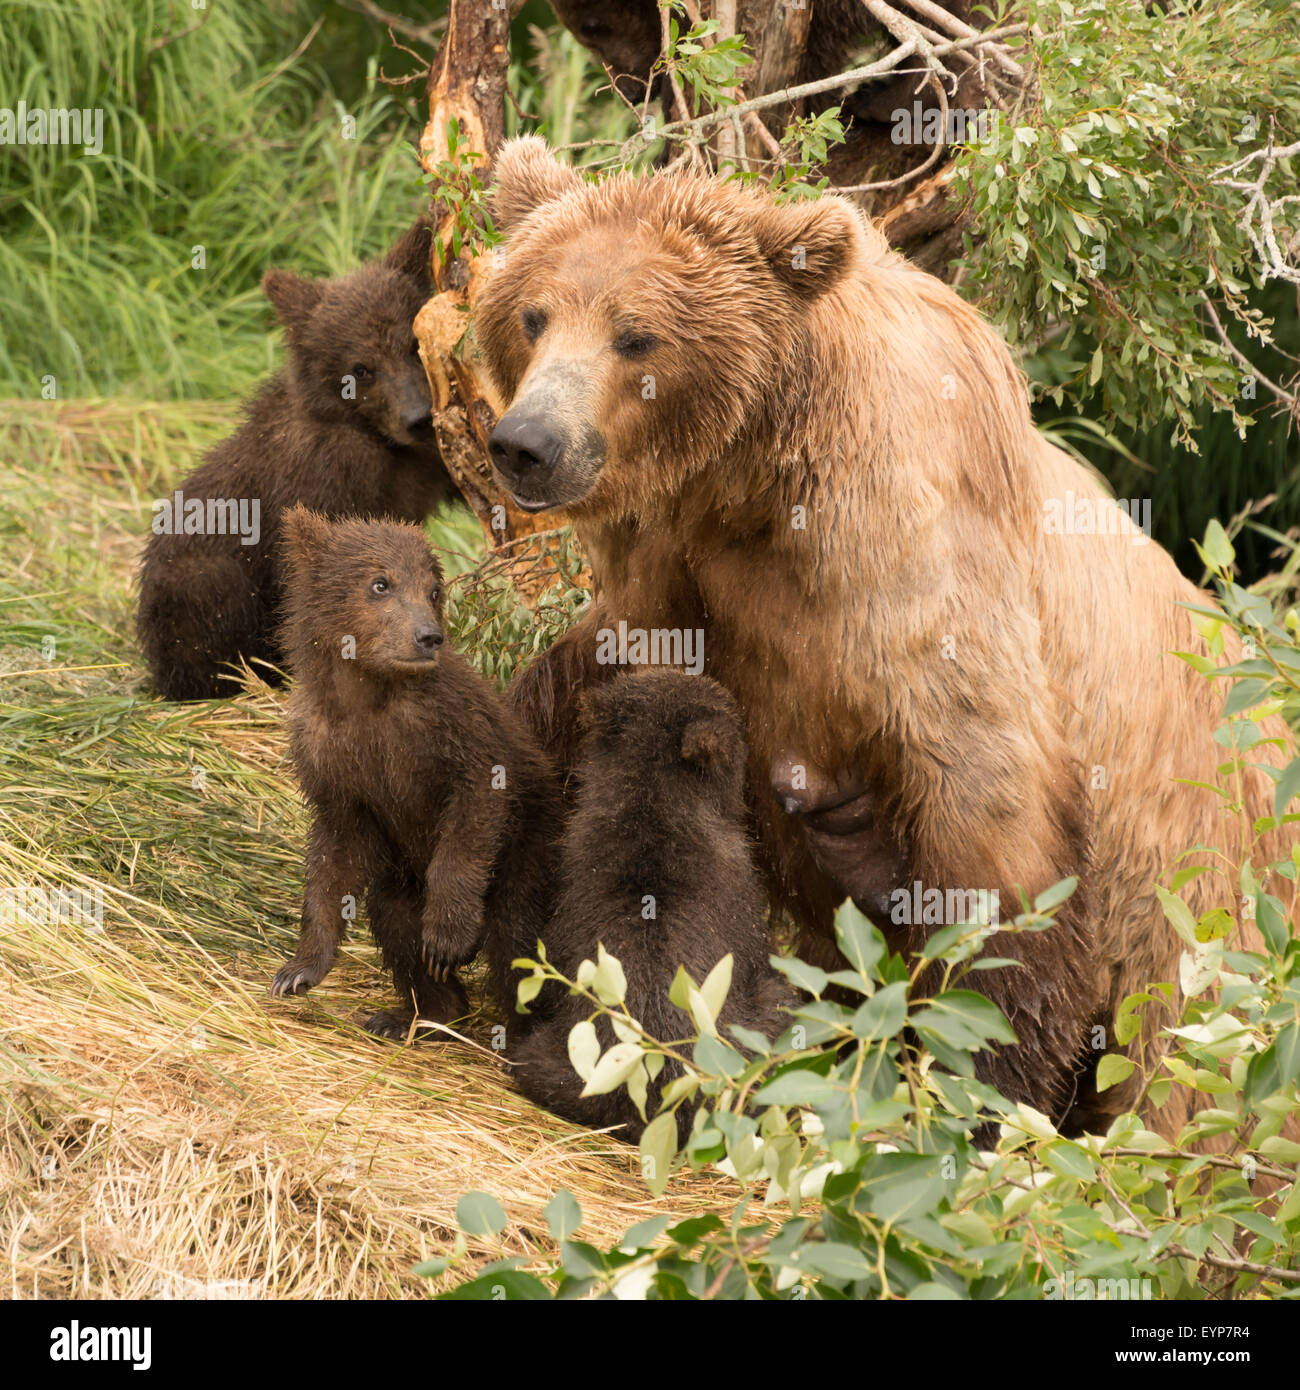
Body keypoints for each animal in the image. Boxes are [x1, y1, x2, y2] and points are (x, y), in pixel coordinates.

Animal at [137, 219, 456, 702]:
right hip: (194, 579)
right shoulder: (327, 479)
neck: (379, 439)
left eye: (411, 343)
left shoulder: (428, 463)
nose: (417, 418)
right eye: (361, 367)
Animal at [269, 507, 560, 1040]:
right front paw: (299, 970)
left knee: (519, 939)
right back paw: (419, 1014)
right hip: (403, 877)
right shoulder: (327, 755)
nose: (428, 637)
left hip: (529, 849)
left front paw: (447, 937)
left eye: (434, 590)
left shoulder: (450, 726)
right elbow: (333, 856)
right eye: (380, 583)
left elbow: (474, 806)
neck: (369, 691)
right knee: (395, 922)